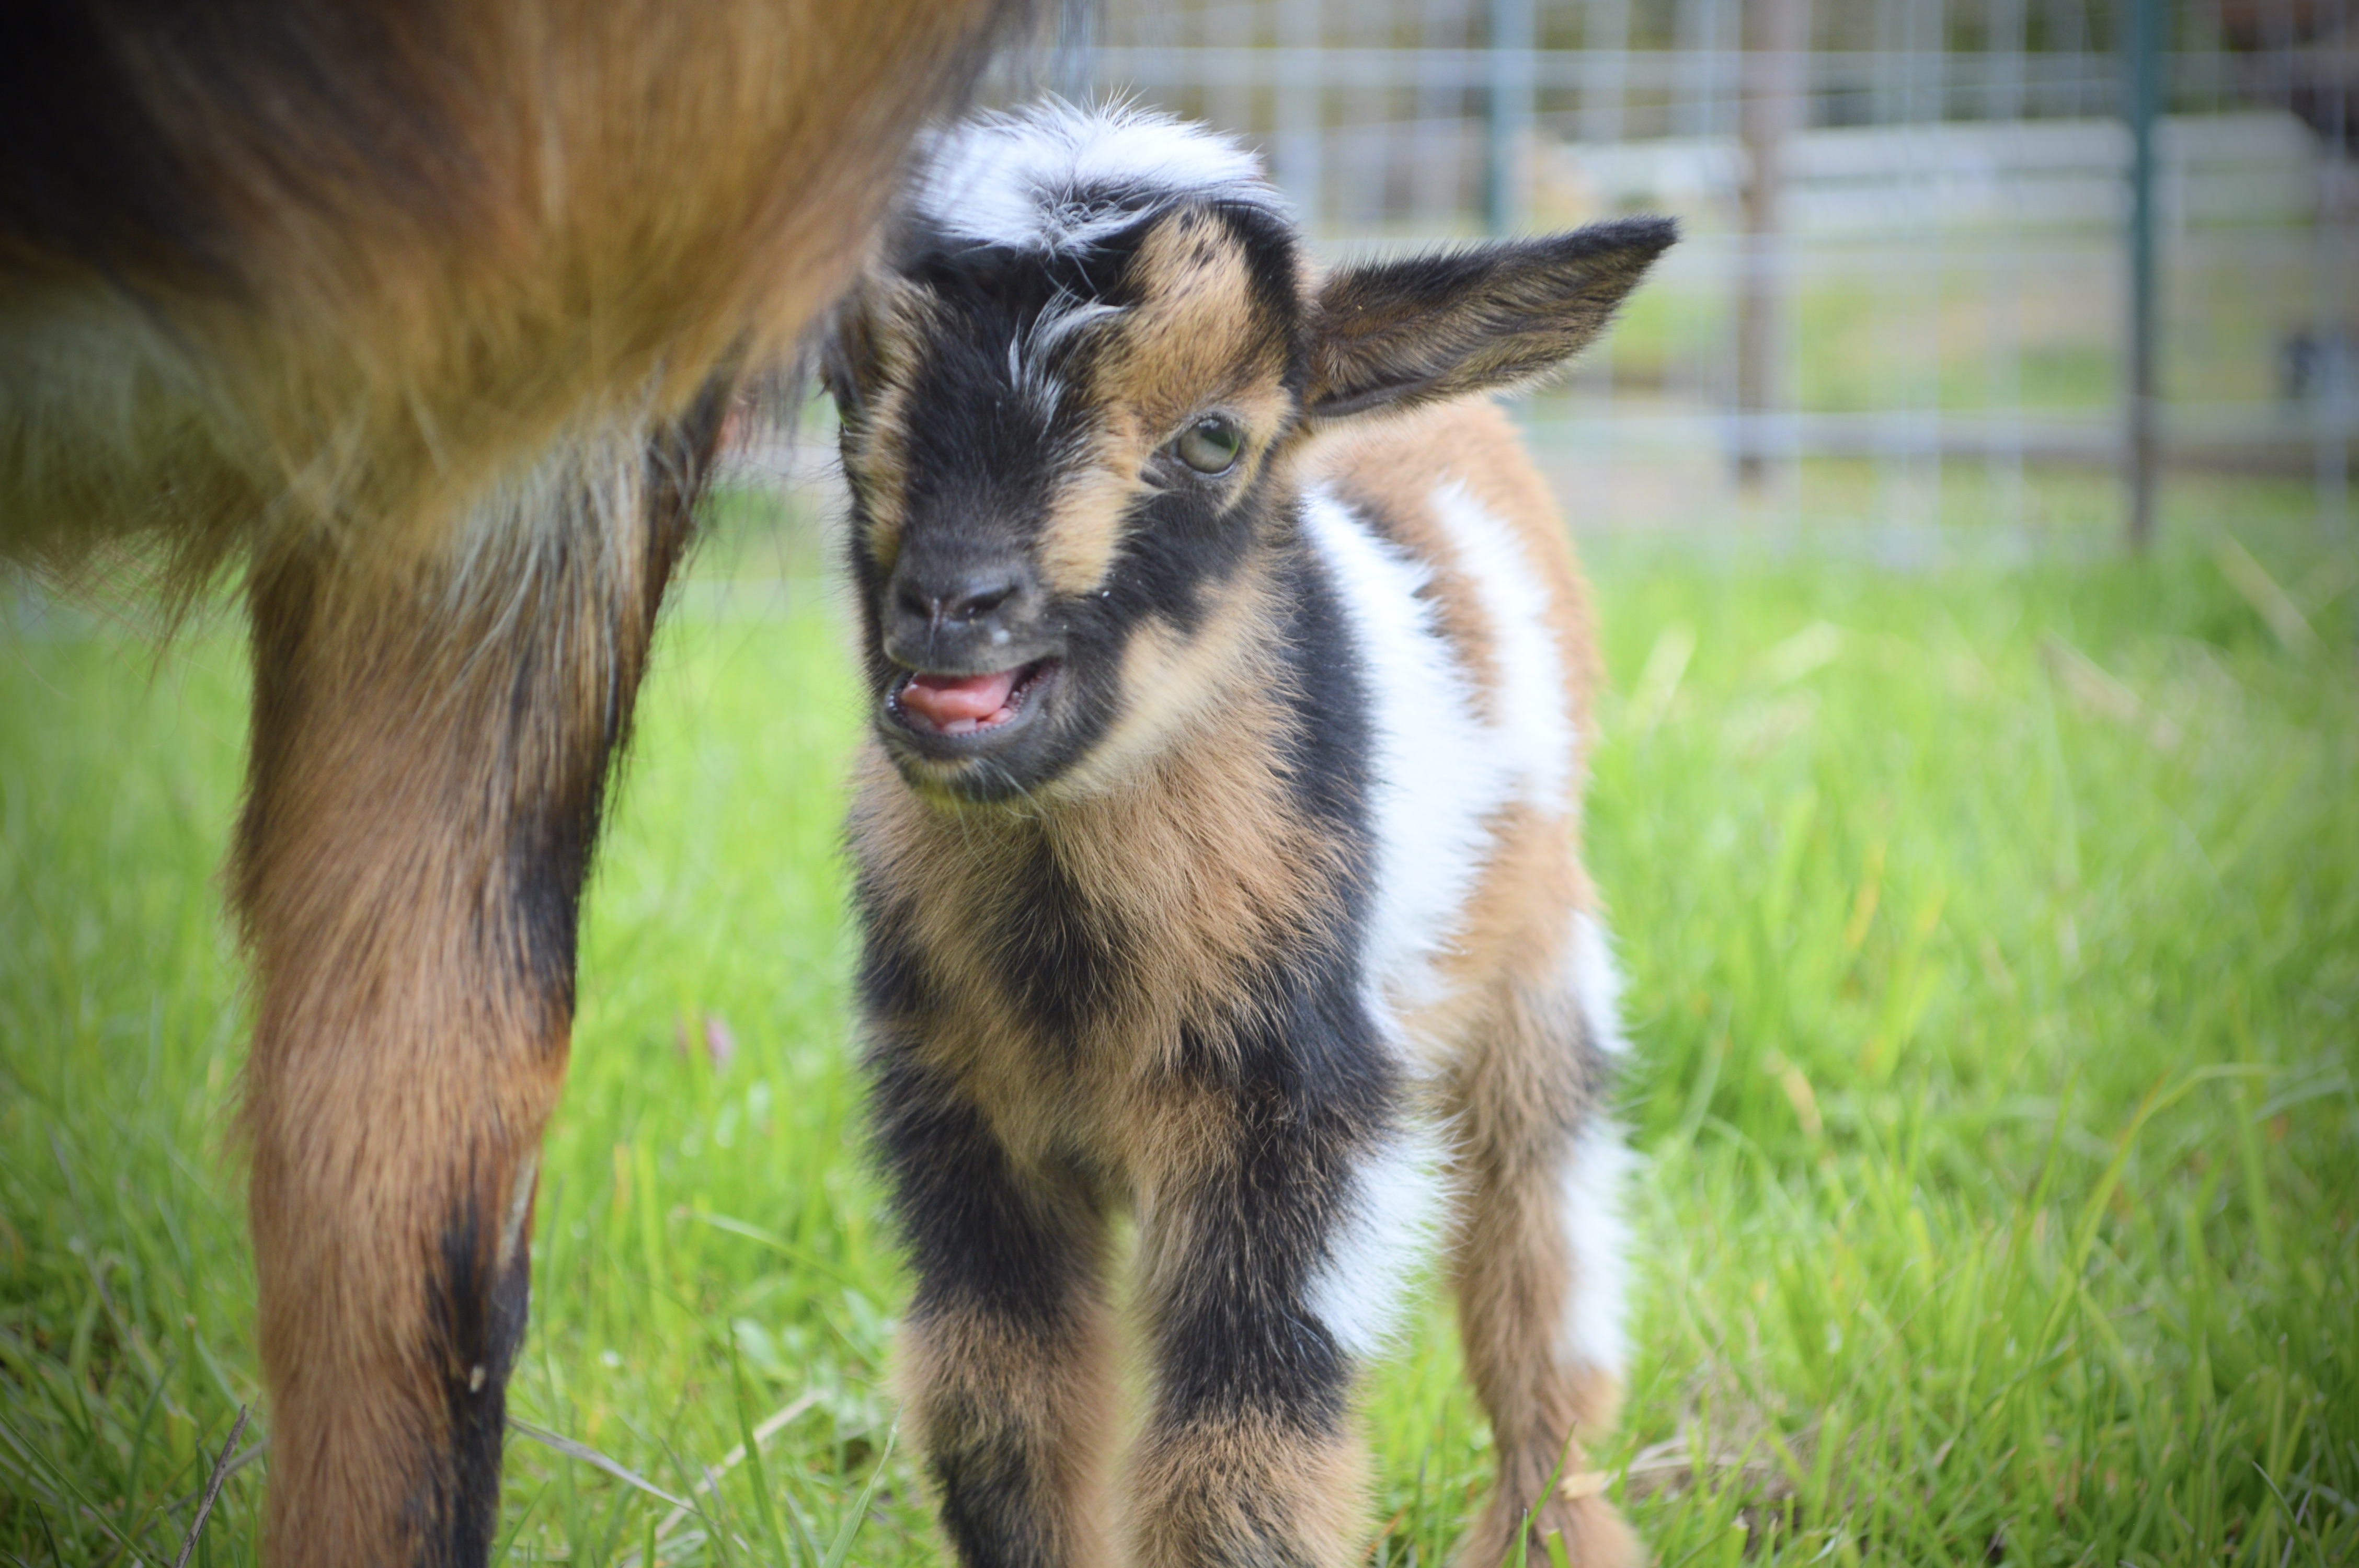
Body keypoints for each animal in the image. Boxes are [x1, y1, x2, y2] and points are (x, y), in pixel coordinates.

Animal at [826, 103, 1675, 1568]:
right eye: (845, 386)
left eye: (1216, 440)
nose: (951, 603)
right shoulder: (955, 1107)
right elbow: (998, 1399)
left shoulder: (1293, 1117)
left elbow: (1244, 1448)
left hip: (1537, 985)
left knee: (1545, 1290)